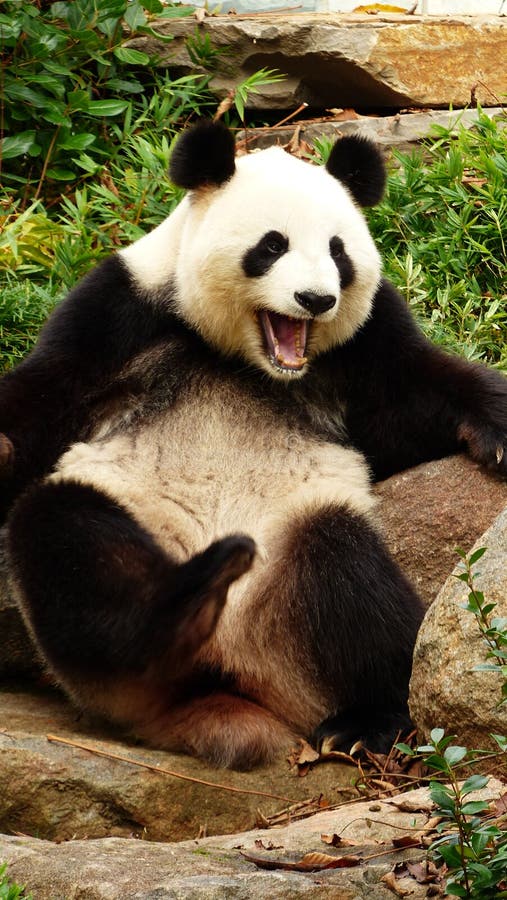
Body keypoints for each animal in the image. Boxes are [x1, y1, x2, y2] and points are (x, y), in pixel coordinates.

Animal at [1, 120, 506, 769]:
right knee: (67, 533)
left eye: (338, 252)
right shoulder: (121, 309)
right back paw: (174, 613)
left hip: (293, 547)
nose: (316, 299)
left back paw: (366, 723)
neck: (245, 359)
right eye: (272, 246)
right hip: (127, 515)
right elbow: (46, 395)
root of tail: (227, 673)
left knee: (350, 578)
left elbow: (416, 393)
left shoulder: (365, 340)